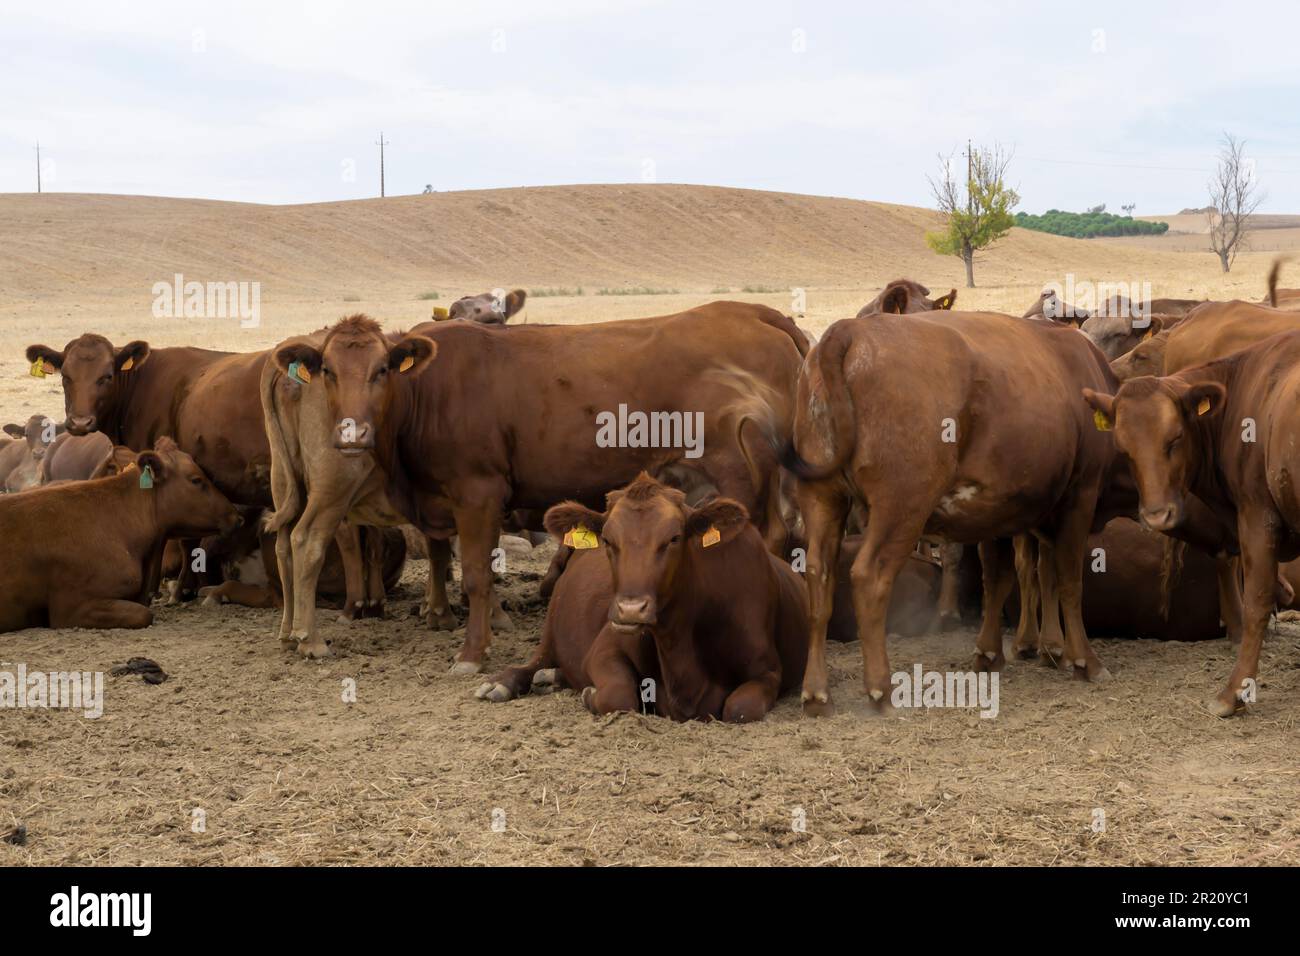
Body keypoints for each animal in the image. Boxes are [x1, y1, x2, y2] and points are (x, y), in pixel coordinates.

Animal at [274, 303, 805, 673]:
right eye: (328, 371)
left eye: (381, 370)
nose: (352, 434)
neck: (431, 389)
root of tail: (752, 311)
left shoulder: (478, 493)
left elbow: (476, 576)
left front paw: (472, 653)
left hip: (736, 475)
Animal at [475, 474, 807, 721]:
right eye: (608, 539)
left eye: (674, 538)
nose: (631, 610)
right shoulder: (606, 646)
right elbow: (619, 695)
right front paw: (590, 694)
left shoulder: (768, 671)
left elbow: (738, 709)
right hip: (551, 627)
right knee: (533, 662)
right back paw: (502, 683)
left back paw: (552, 677)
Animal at [782, 311, 1119, 714]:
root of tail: (849, 330)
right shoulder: (1080, 495)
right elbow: (1069, 581)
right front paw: (1084, 659)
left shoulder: (998, 512)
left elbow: (1000, 579)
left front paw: (991, 653)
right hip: (902, 505)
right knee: (869, 577)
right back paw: (880, 688)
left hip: (822, 498)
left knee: (820, 578)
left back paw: (816, 692)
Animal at [1083, 330, 1300, 716]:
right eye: (1124, 450)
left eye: (1175, 438)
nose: (1157, 515)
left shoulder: (1258, 517)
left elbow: (1256, 603)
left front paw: (1233, 693)